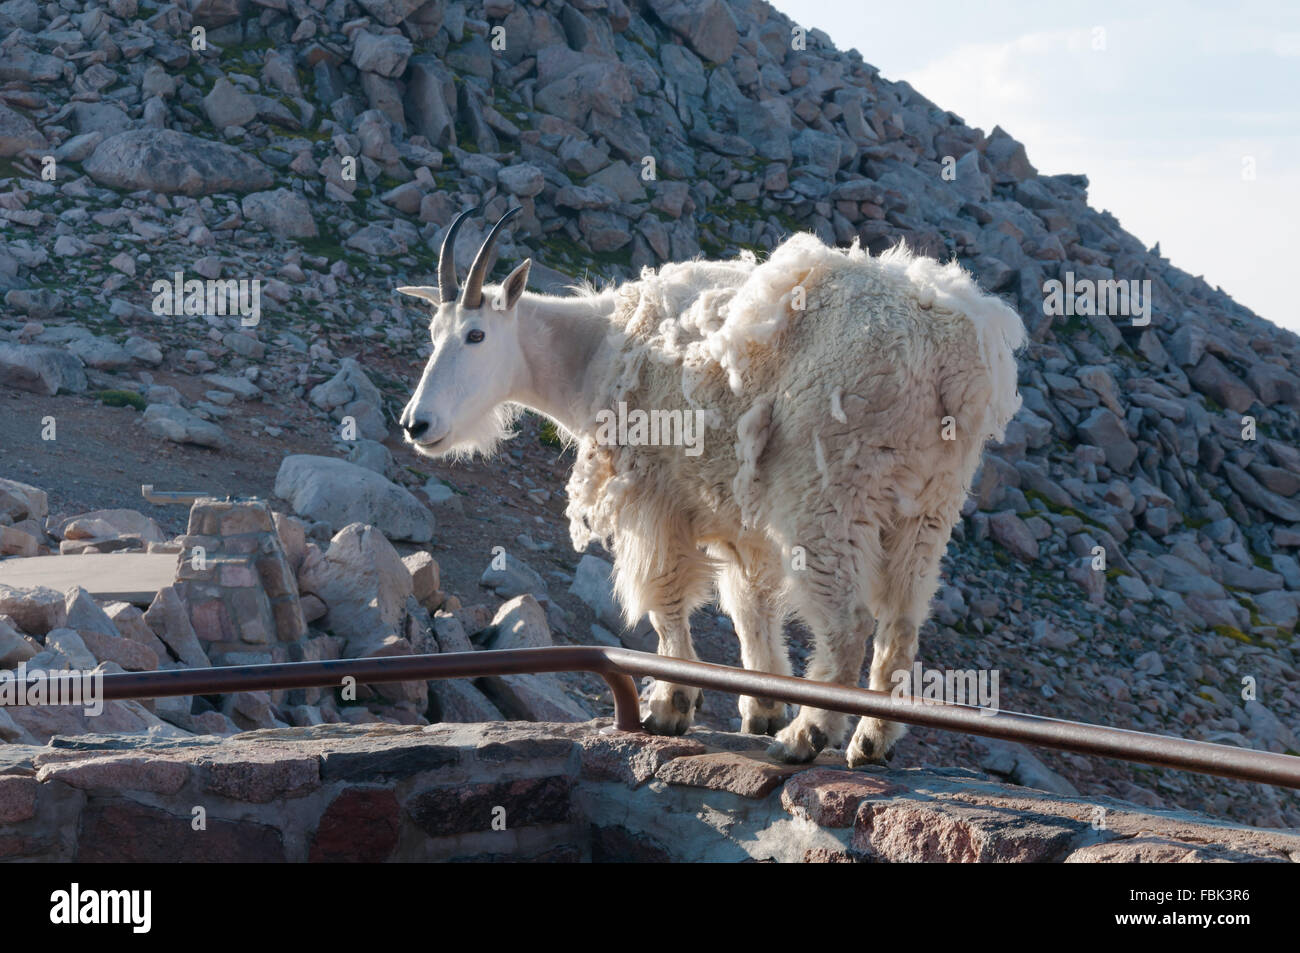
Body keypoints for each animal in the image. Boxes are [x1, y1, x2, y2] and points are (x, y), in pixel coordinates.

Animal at [398, 208, 1025, 766]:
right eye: (433, 332)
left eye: (476, 334)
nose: (416, 425)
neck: (595, 348)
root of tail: (950, 353)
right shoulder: (740, 517)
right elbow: (750, 606)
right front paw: (762, 706)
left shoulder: (654, 494)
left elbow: (666, 597)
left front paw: (672, 705)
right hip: (927, 508)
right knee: (900, 623)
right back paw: (871, 741)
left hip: (826, 496)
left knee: (848, 627)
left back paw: (807, 736)